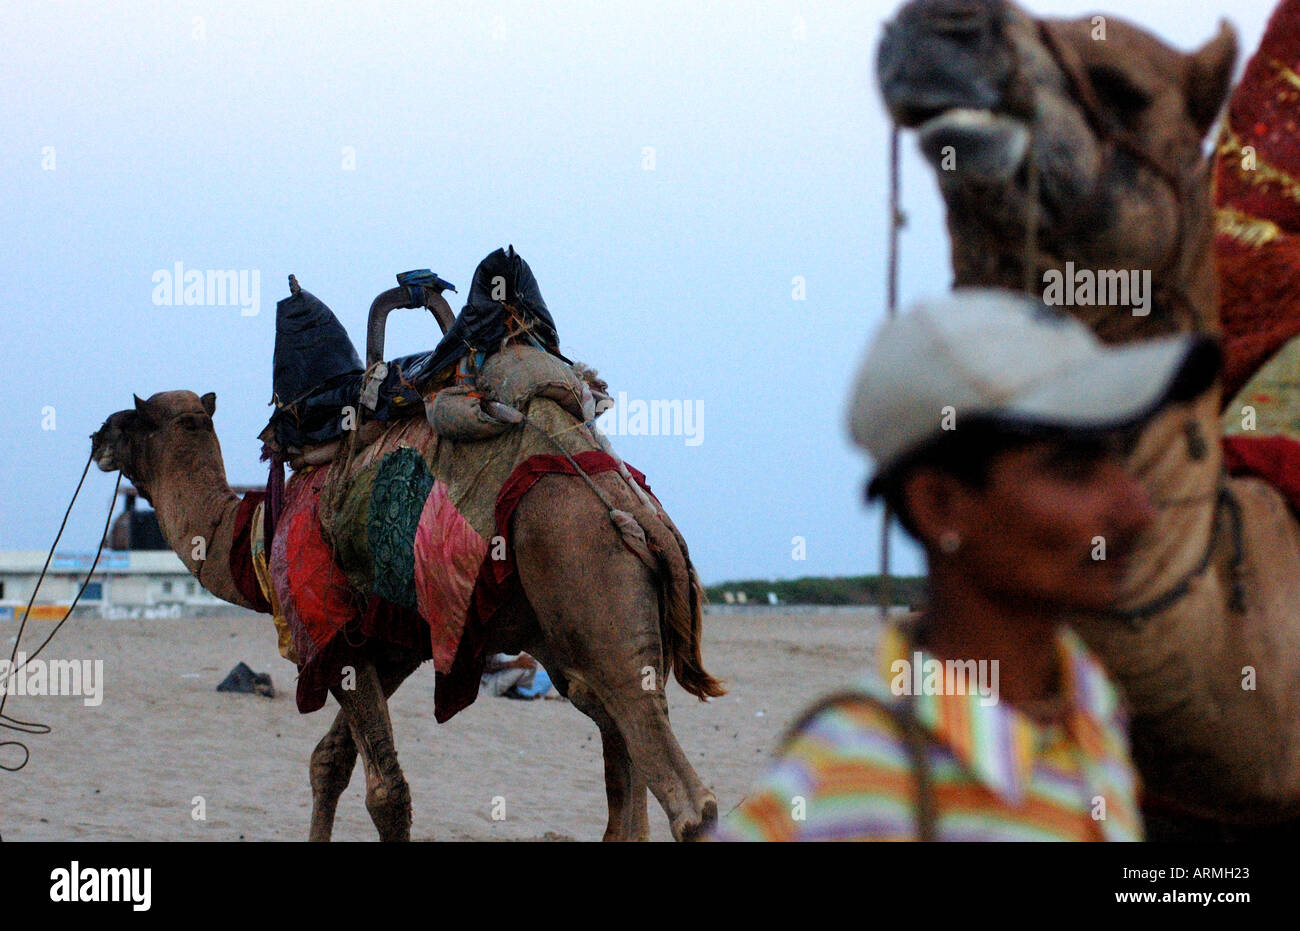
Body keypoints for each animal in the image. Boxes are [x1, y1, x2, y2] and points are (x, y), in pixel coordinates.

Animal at [90, 347, 723, 841]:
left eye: (136, 417)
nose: (98, 435)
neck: (254, 535)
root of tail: (637, 508)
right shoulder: (390, 646)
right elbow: (330, 761)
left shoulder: (331, 636)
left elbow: (386, 793)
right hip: (592, 638)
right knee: (624, 767)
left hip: (589, 588)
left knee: (688, 801)